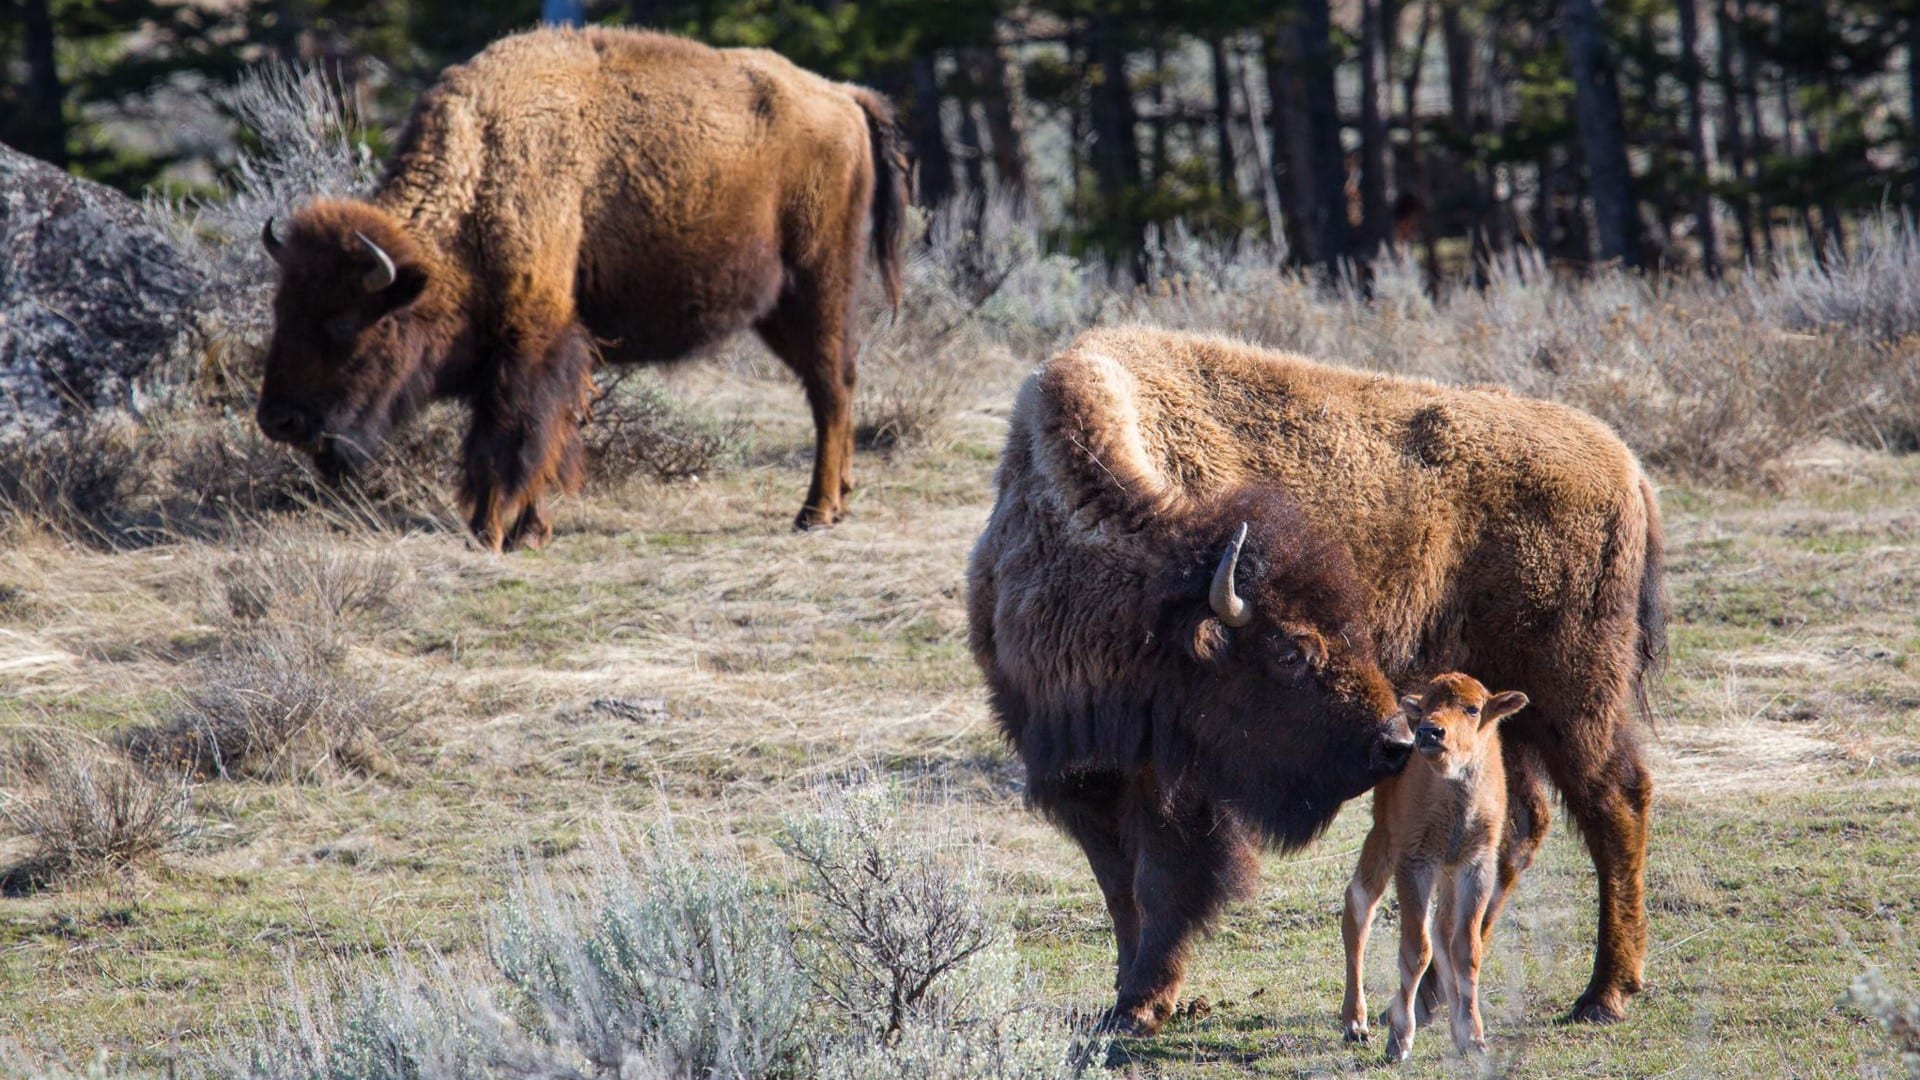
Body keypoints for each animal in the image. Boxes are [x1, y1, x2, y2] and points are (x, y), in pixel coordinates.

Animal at [255, 27, 908, 550]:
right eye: (282, 310)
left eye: (343, 323)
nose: (277, 421)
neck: (482, 176)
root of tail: (843, 96)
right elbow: (545, 436)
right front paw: (529, 532)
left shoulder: (531, 342)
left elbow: (509, 436)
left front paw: (489, 532)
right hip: (782, 307)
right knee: (835, 386)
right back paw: (838, 500)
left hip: (817, 286)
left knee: (830, 387)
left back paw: (815, 512)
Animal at [1341, 673, 1530, 1061]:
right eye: (1428, 703)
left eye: (1472, 709)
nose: (1429, 732)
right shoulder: (1415, 863)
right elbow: (1417, 949)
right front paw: (1398, 1042)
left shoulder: (1475, 865)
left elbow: (1466, 948)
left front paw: (1474, 1036)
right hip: (1383, 841)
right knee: (1358, 909)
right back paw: (1355, 1024)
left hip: (1446, 873)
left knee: (1443, 932)